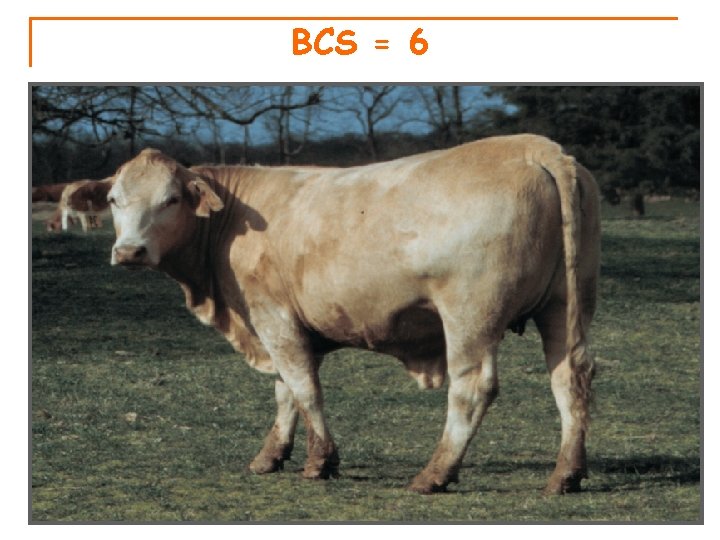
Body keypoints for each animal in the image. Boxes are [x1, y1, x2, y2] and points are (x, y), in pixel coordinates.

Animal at [72, 134, 600, 495]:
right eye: (115, 200)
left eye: (172, 199)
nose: (130, 251)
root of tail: (534, 147)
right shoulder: (285, 326)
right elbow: (285, 391)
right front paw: (271, 456)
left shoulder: (273, 316)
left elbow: (303, 387)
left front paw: (320, 461)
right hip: (565, 306)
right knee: (570, 378)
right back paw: (566, 473)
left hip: (470, 314)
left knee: (472, 389)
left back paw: (434, 473)